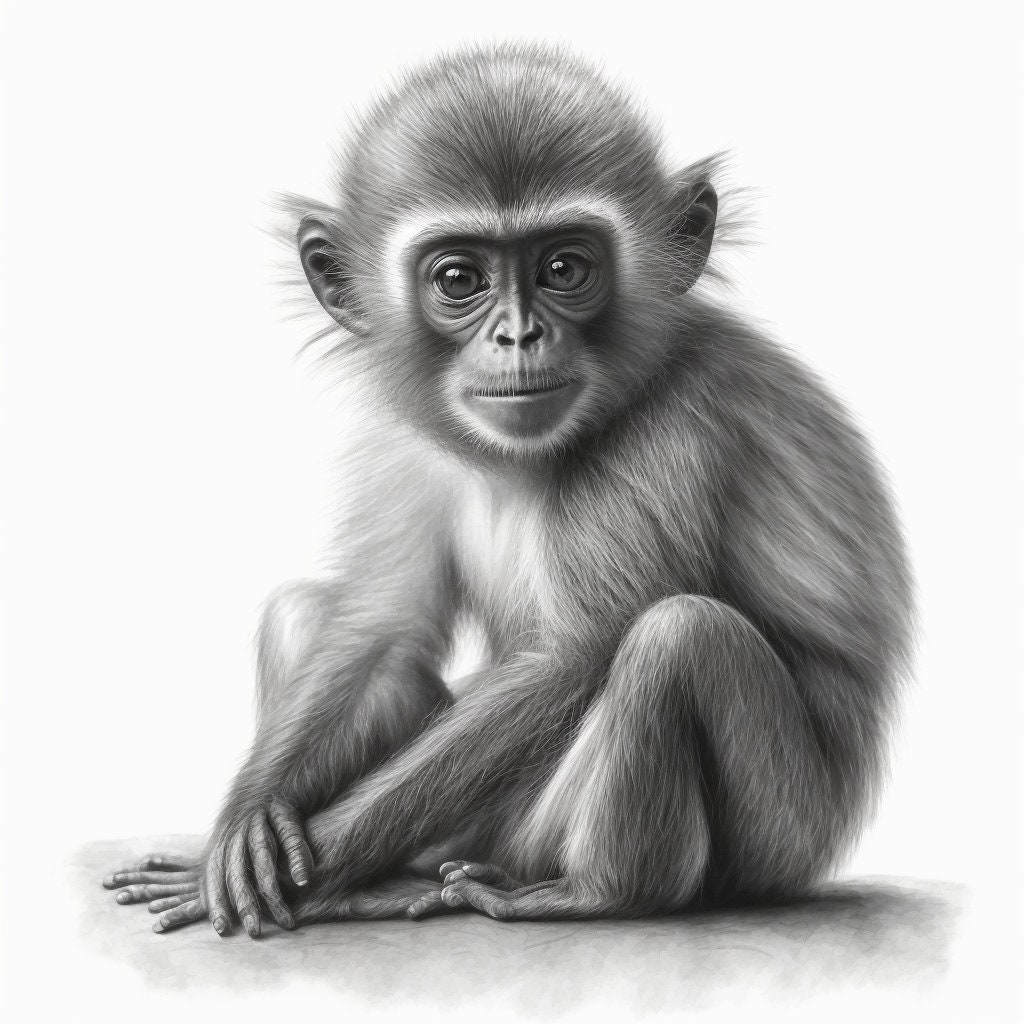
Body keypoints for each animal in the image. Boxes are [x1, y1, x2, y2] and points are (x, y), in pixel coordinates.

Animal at [104, 42, 912, 936]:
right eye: (460, 278)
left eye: (564, 267)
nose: (519, 334)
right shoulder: (400, 437)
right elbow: (382, 619)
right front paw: (248, 818)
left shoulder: (675, 419)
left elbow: (574, 655)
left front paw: (305, 868)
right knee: (306, 613)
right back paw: (385, 882)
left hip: (775, 837)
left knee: (680, 637)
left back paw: (599, 892)